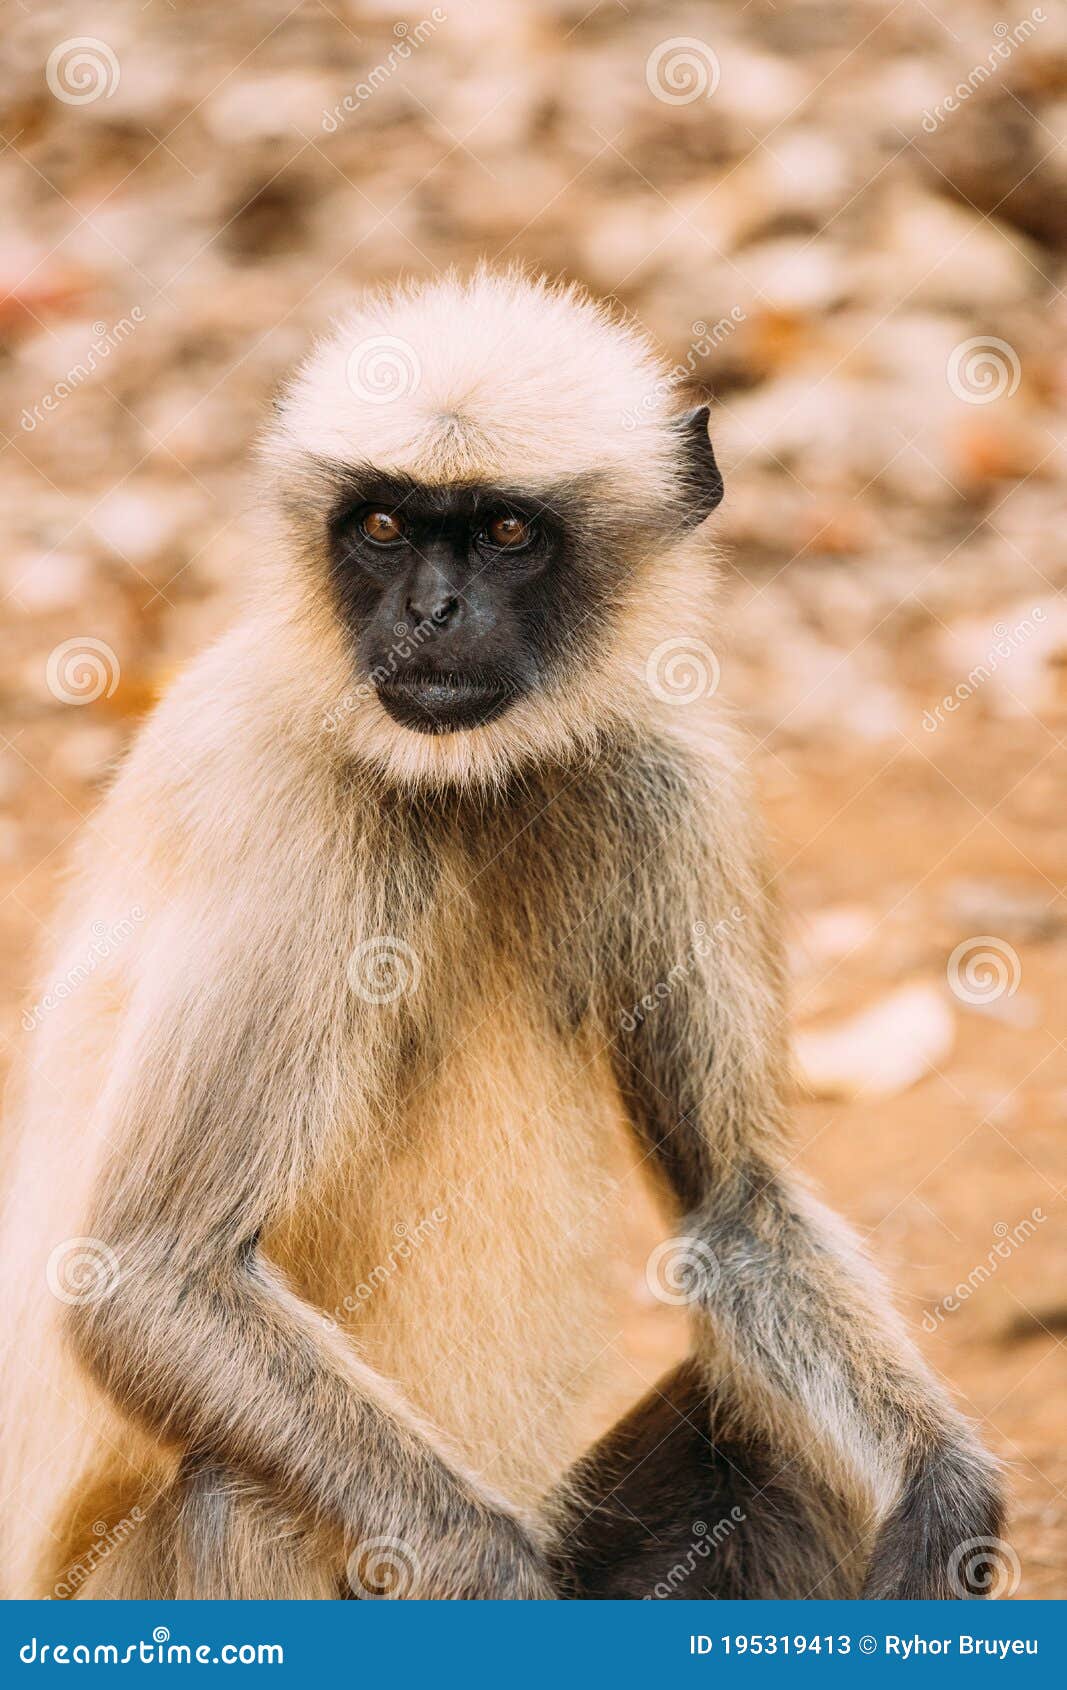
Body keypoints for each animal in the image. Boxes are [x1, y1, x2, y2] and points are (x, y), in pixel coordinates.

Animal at [0, 267, 1003, 1601]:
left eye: (506, 533)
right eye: (382, 528)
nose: (430, 612)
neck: (460, 783)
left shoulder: (664, 772)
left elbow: (732, 1205)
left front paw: (945, 1486)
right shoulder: (297, 809)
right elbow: (151, 1272)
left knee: (766, 1441)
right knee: (238, 1498)